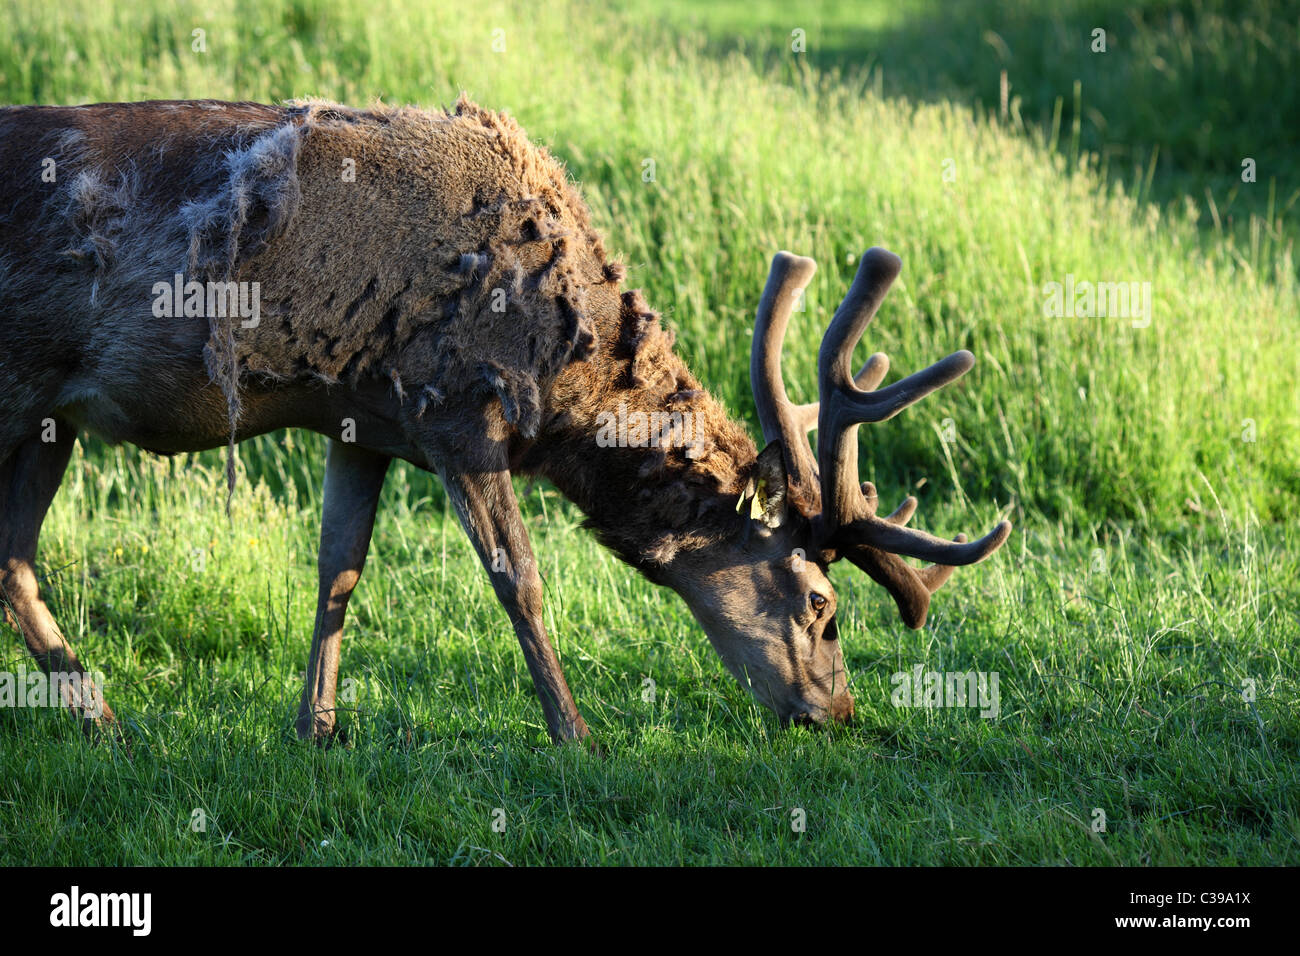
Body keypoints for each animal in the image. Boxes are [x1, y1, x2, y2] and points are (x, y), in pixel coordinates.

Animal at [0, 96, 1011, 745]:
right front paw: (575, 733)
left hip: (51, 413)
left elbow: (339, 569)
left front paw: (314, 727)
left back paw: (100, 715)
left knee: (14, 561)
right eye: (821, 605)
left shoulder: (361, 422)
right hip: (23, 383)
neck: (569, 382)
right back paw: (99, 714)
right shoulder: (457, 412)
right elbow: (518, 579)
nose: (837, 713)